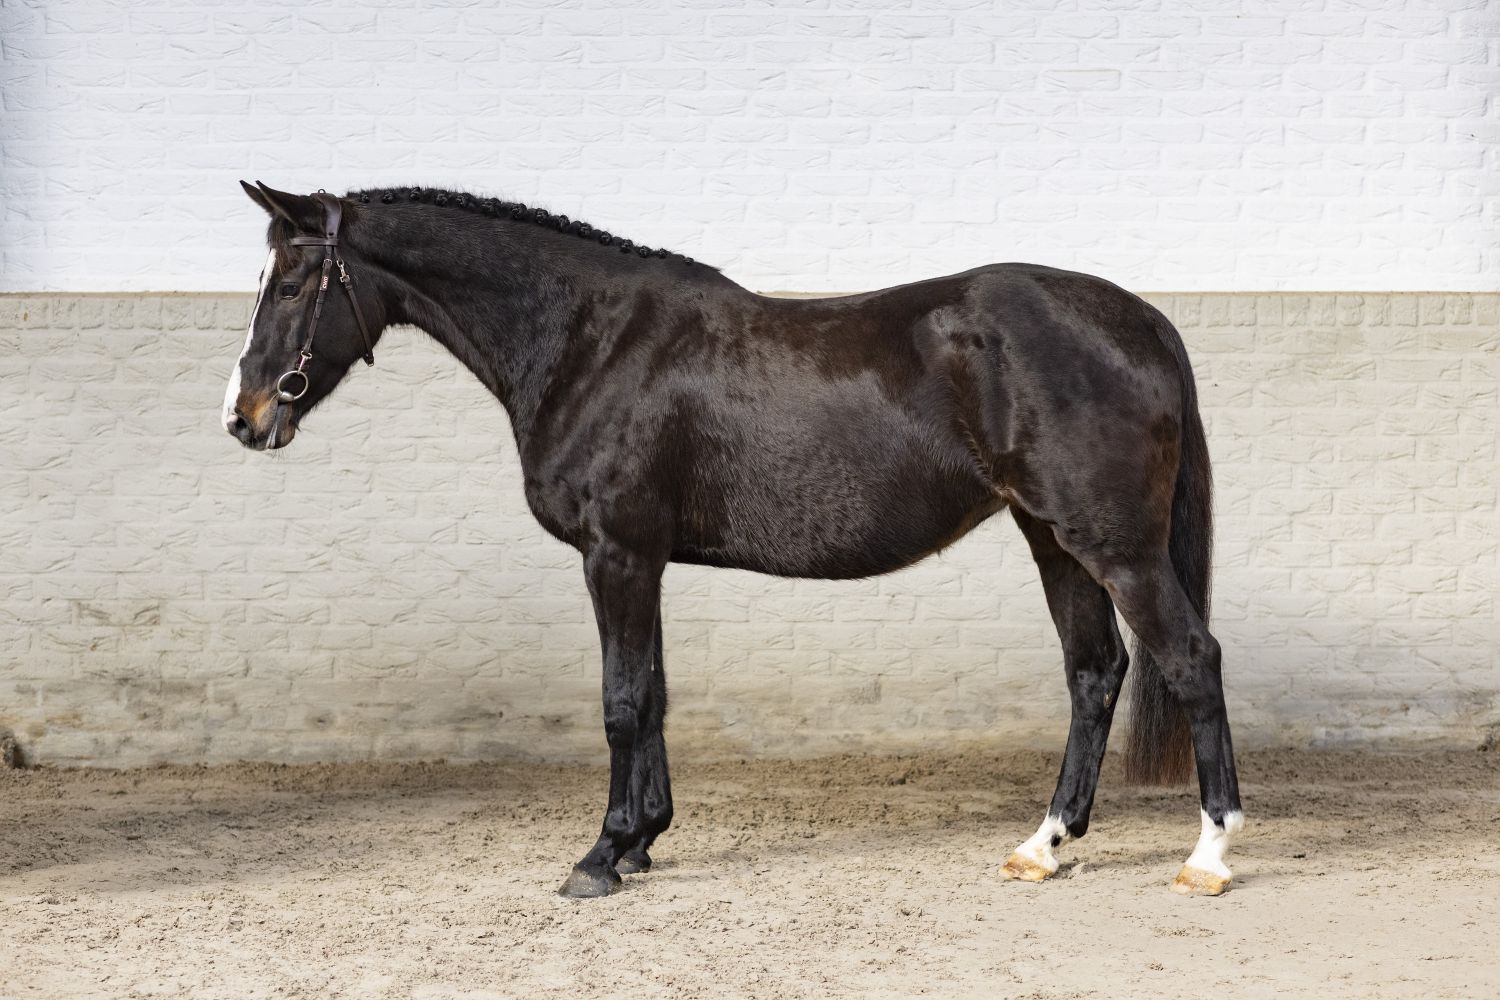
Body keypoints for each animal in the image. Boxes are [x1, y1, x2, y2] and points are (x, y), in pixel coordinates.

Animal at [225, 181, 1243, 898]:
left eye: (292, 282)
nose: (245, 416)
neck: (592, 341)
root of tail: (1144, 319)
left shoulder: (617, 554)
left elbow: (621, 701)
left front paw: (600, 855)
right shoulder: (641, 560)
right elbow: (655, 695)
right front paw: (642, 841)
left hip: (1114, 545)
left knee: (1190, 658)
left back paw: (1210, 853)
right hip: (1054, 538)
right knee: (1095, 673)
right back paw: (1044, 846)